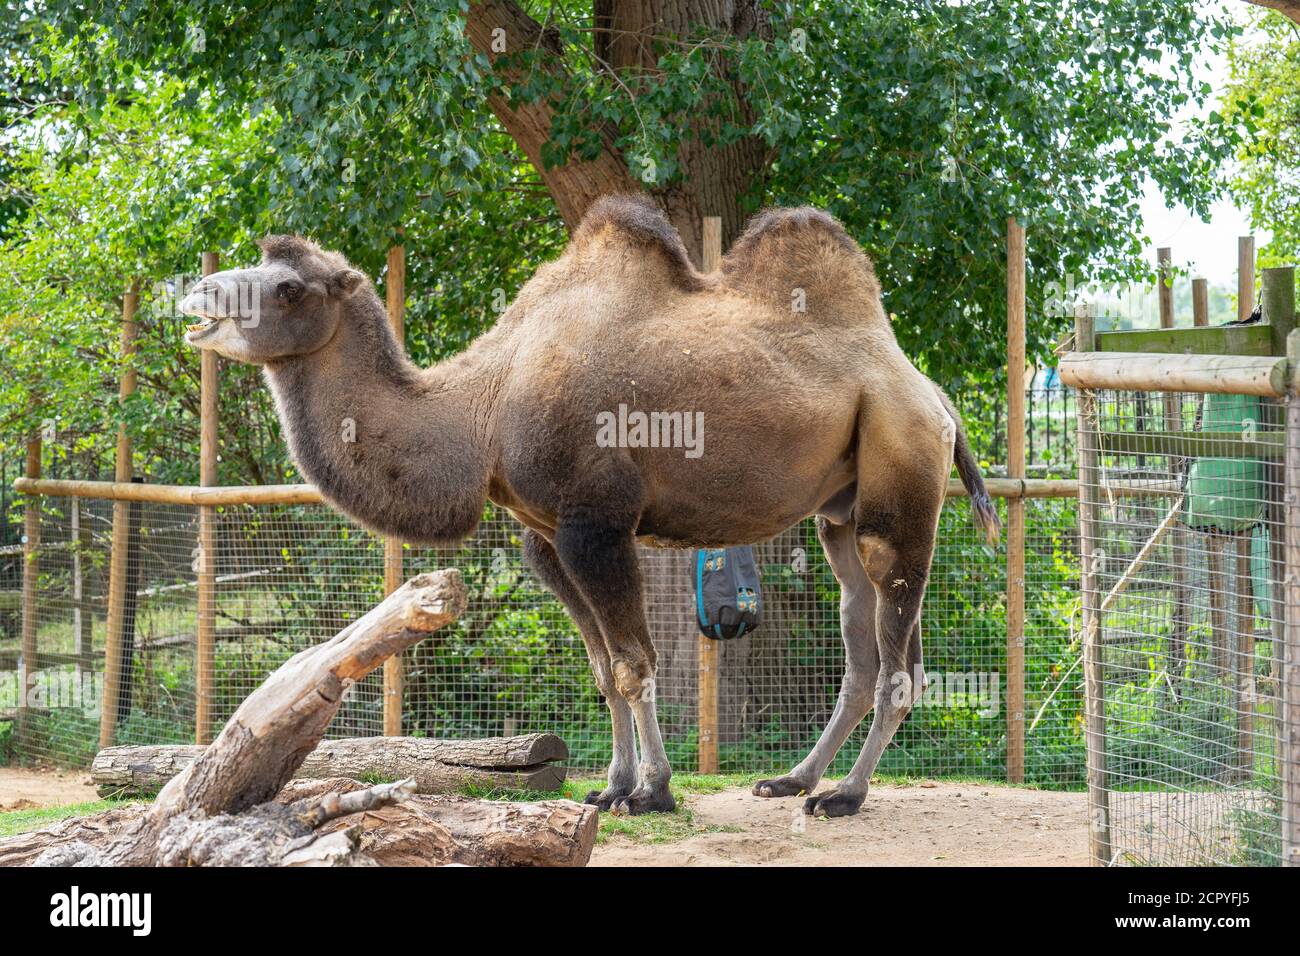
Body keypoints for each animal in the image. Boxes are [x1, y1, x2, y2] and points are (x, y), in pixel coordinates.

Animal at [180, 196, 993, 816]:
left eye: (290, 287)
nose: (195, 294)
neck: (483, 408)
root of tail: (929, 390)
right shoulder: (545, 539)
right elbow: (602, 671)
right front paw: (610, 787)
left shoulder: (596, 524)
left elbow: (633, 664)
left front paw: (653, 791)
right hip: (839, 513)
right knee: (861, 637)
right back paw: (792, 779)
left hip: (900, 470)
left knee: (896, 658)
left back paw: (844, 796)